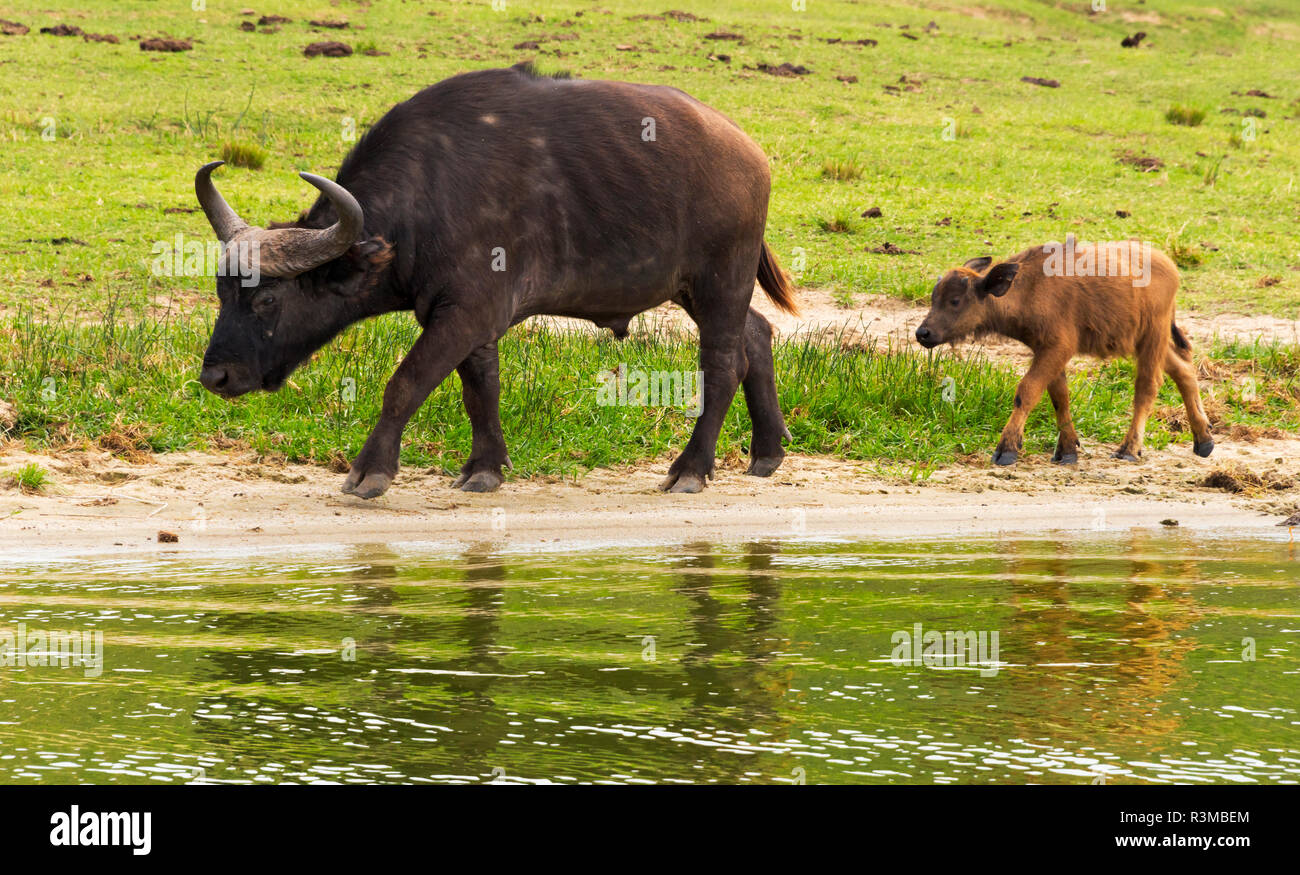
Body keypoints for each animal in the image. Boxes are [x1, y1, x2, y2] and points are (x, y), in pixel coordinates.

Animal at [194, 64, 798, 498]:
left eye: (267, 298)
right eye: (223, 293)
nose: (215, 377)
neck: (427, 196)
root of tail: (750, 154)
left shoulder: (465, 313)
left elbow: (405, 383)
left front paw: (370, 471)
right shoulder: (466, 319)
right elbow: (480, 387)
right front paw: (485, 467)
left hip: (721, 281)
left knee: (723, 364)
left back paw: (690, 468)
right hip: (695, 289)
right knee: (756, 335)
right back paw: (767, 452)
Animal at [914, 240, 1215, 466]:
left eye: (955, 300)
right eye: (934, 297)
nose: (922, 333)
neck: (1029, 288)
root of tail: (1170, 266)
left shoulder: (1058, 347)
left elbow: (1027, 391)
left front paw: (1006, 450)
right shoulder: (1047, 350)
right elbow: (1060, 397)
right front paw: (1067, 451)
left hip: (1153, 337)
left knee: (1147, 387)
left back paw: (1128, 449)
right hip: (1146, 341)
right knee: (1184, 371)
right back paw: (1204, 441)